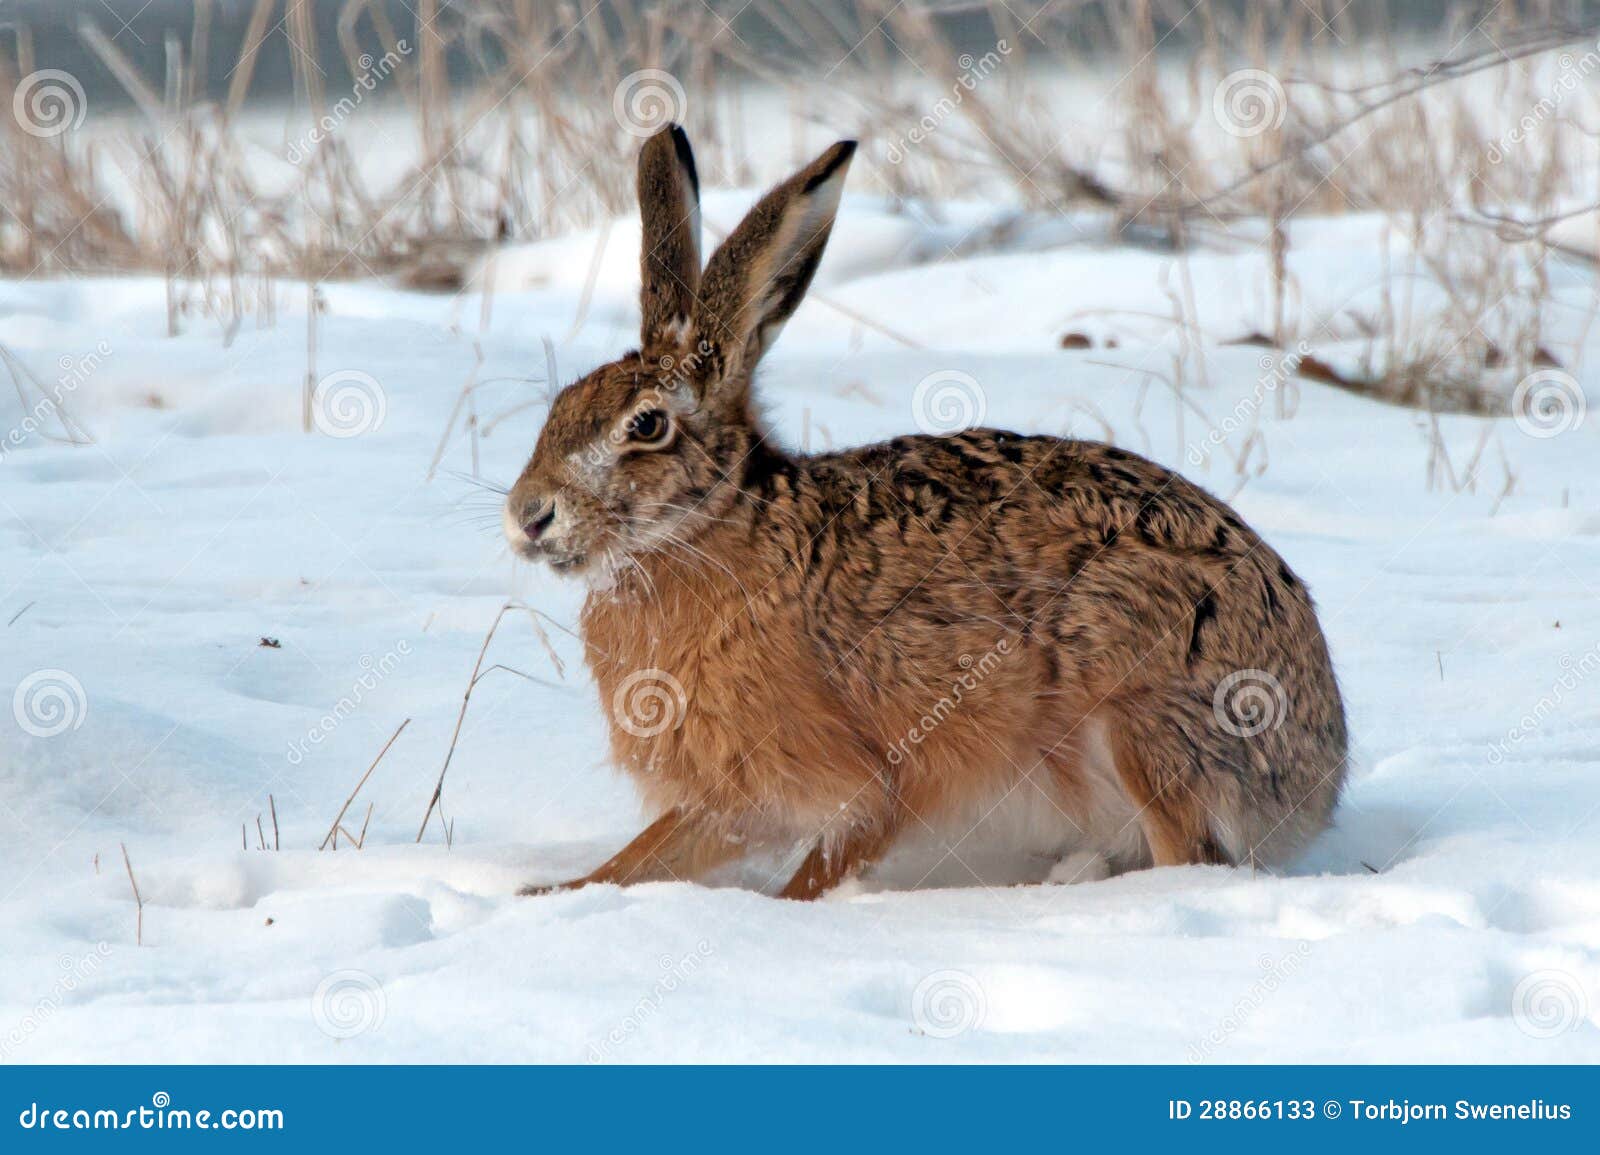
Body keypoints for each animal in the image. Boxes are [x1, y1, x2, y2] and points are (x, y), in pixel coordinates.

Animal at [505, 123, 1348, 900]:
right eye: (562, 404)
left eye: (647, 425)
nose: (528, 515)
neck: (708, 530)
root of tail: (1323, 759)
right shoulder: (733, 797)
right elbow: (650, 852)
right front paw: (554, 894)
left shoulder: (872, 774)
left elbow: (835, 852)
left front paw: (787, 908)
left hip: (1142, 709)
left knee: (1192, 853)